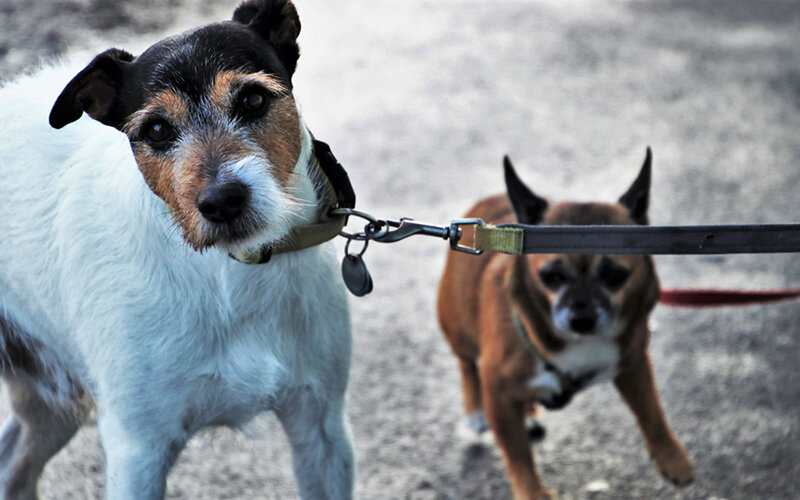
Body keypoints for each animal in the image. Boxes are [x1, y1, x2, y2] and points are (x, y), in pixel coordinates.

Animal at [0, 1, 356, 498]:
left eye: (252, 100)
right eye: (156, 129)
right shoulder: (137, 450)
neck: (230, 274)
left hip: (51, 395)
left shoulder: (321, 424)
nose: (222, 202)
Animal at [438, 150, 692, 498]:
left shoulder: (633, 363)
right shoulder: (498, 393)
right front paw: (532, 492)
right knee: (467, 364)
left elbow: (652, 410)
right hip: (458, 327)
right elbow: (517, 454)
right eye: (551, 276)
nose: (582, 319)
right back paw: (476, 411)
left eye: (615, 275)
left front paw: (672, 457)